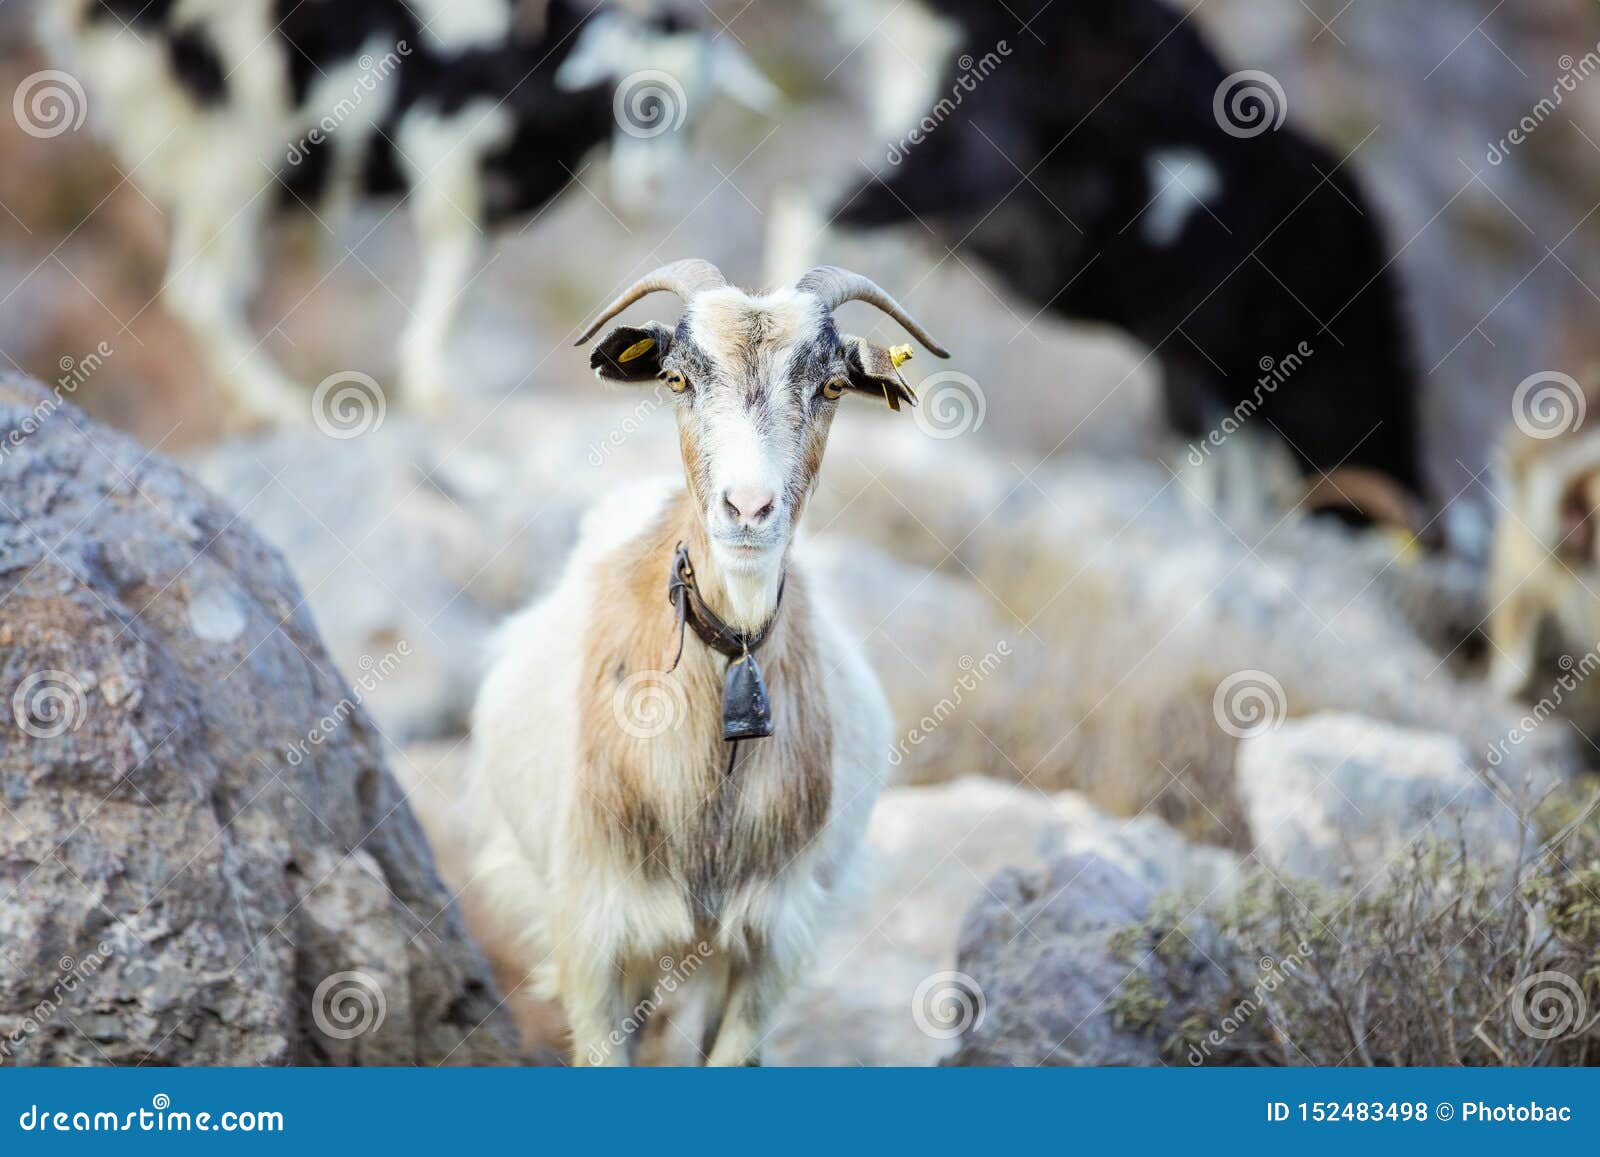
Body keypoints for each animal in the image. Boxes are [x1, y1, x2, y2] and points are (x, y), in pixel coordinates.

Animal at [38, 0, 777, 425]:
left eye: (698, 107)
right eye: (614, 93)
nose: (652, 184)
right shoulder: (448, 147)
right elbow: (454, 267)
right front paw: (433, 383)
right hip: (235, 142)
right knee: (201, 290)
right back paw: (274, 402)